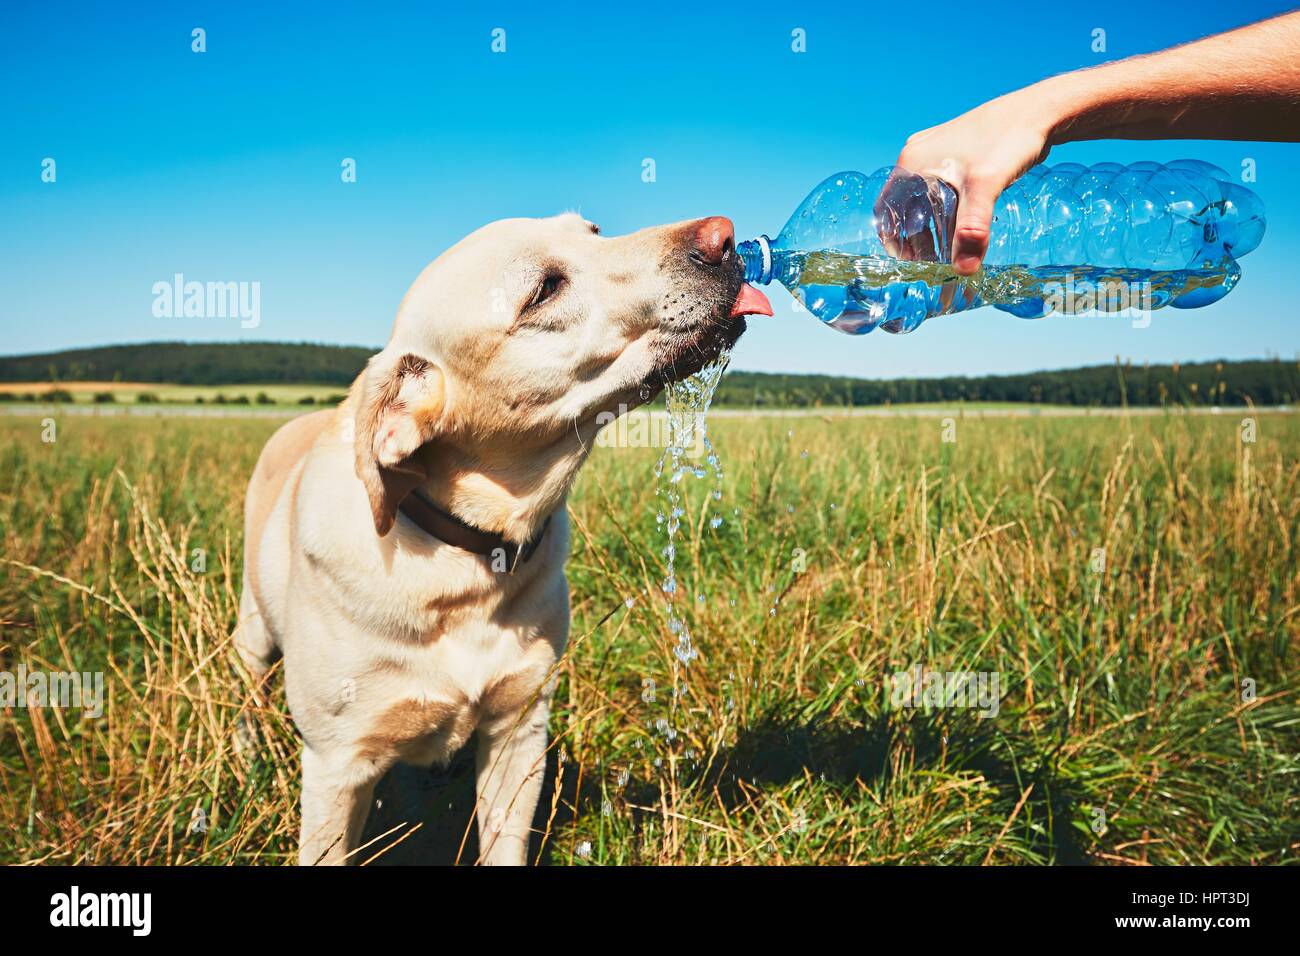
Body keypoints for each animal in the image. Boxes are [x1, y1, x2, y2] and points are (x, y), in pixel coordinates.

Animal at [235, 213, 769, 863]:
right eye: (544, 290)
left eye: (594, 230)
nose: (725, 236)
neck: (464, 559)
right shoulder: (337, 765)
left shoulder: (519, 731)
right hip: (252, 634)